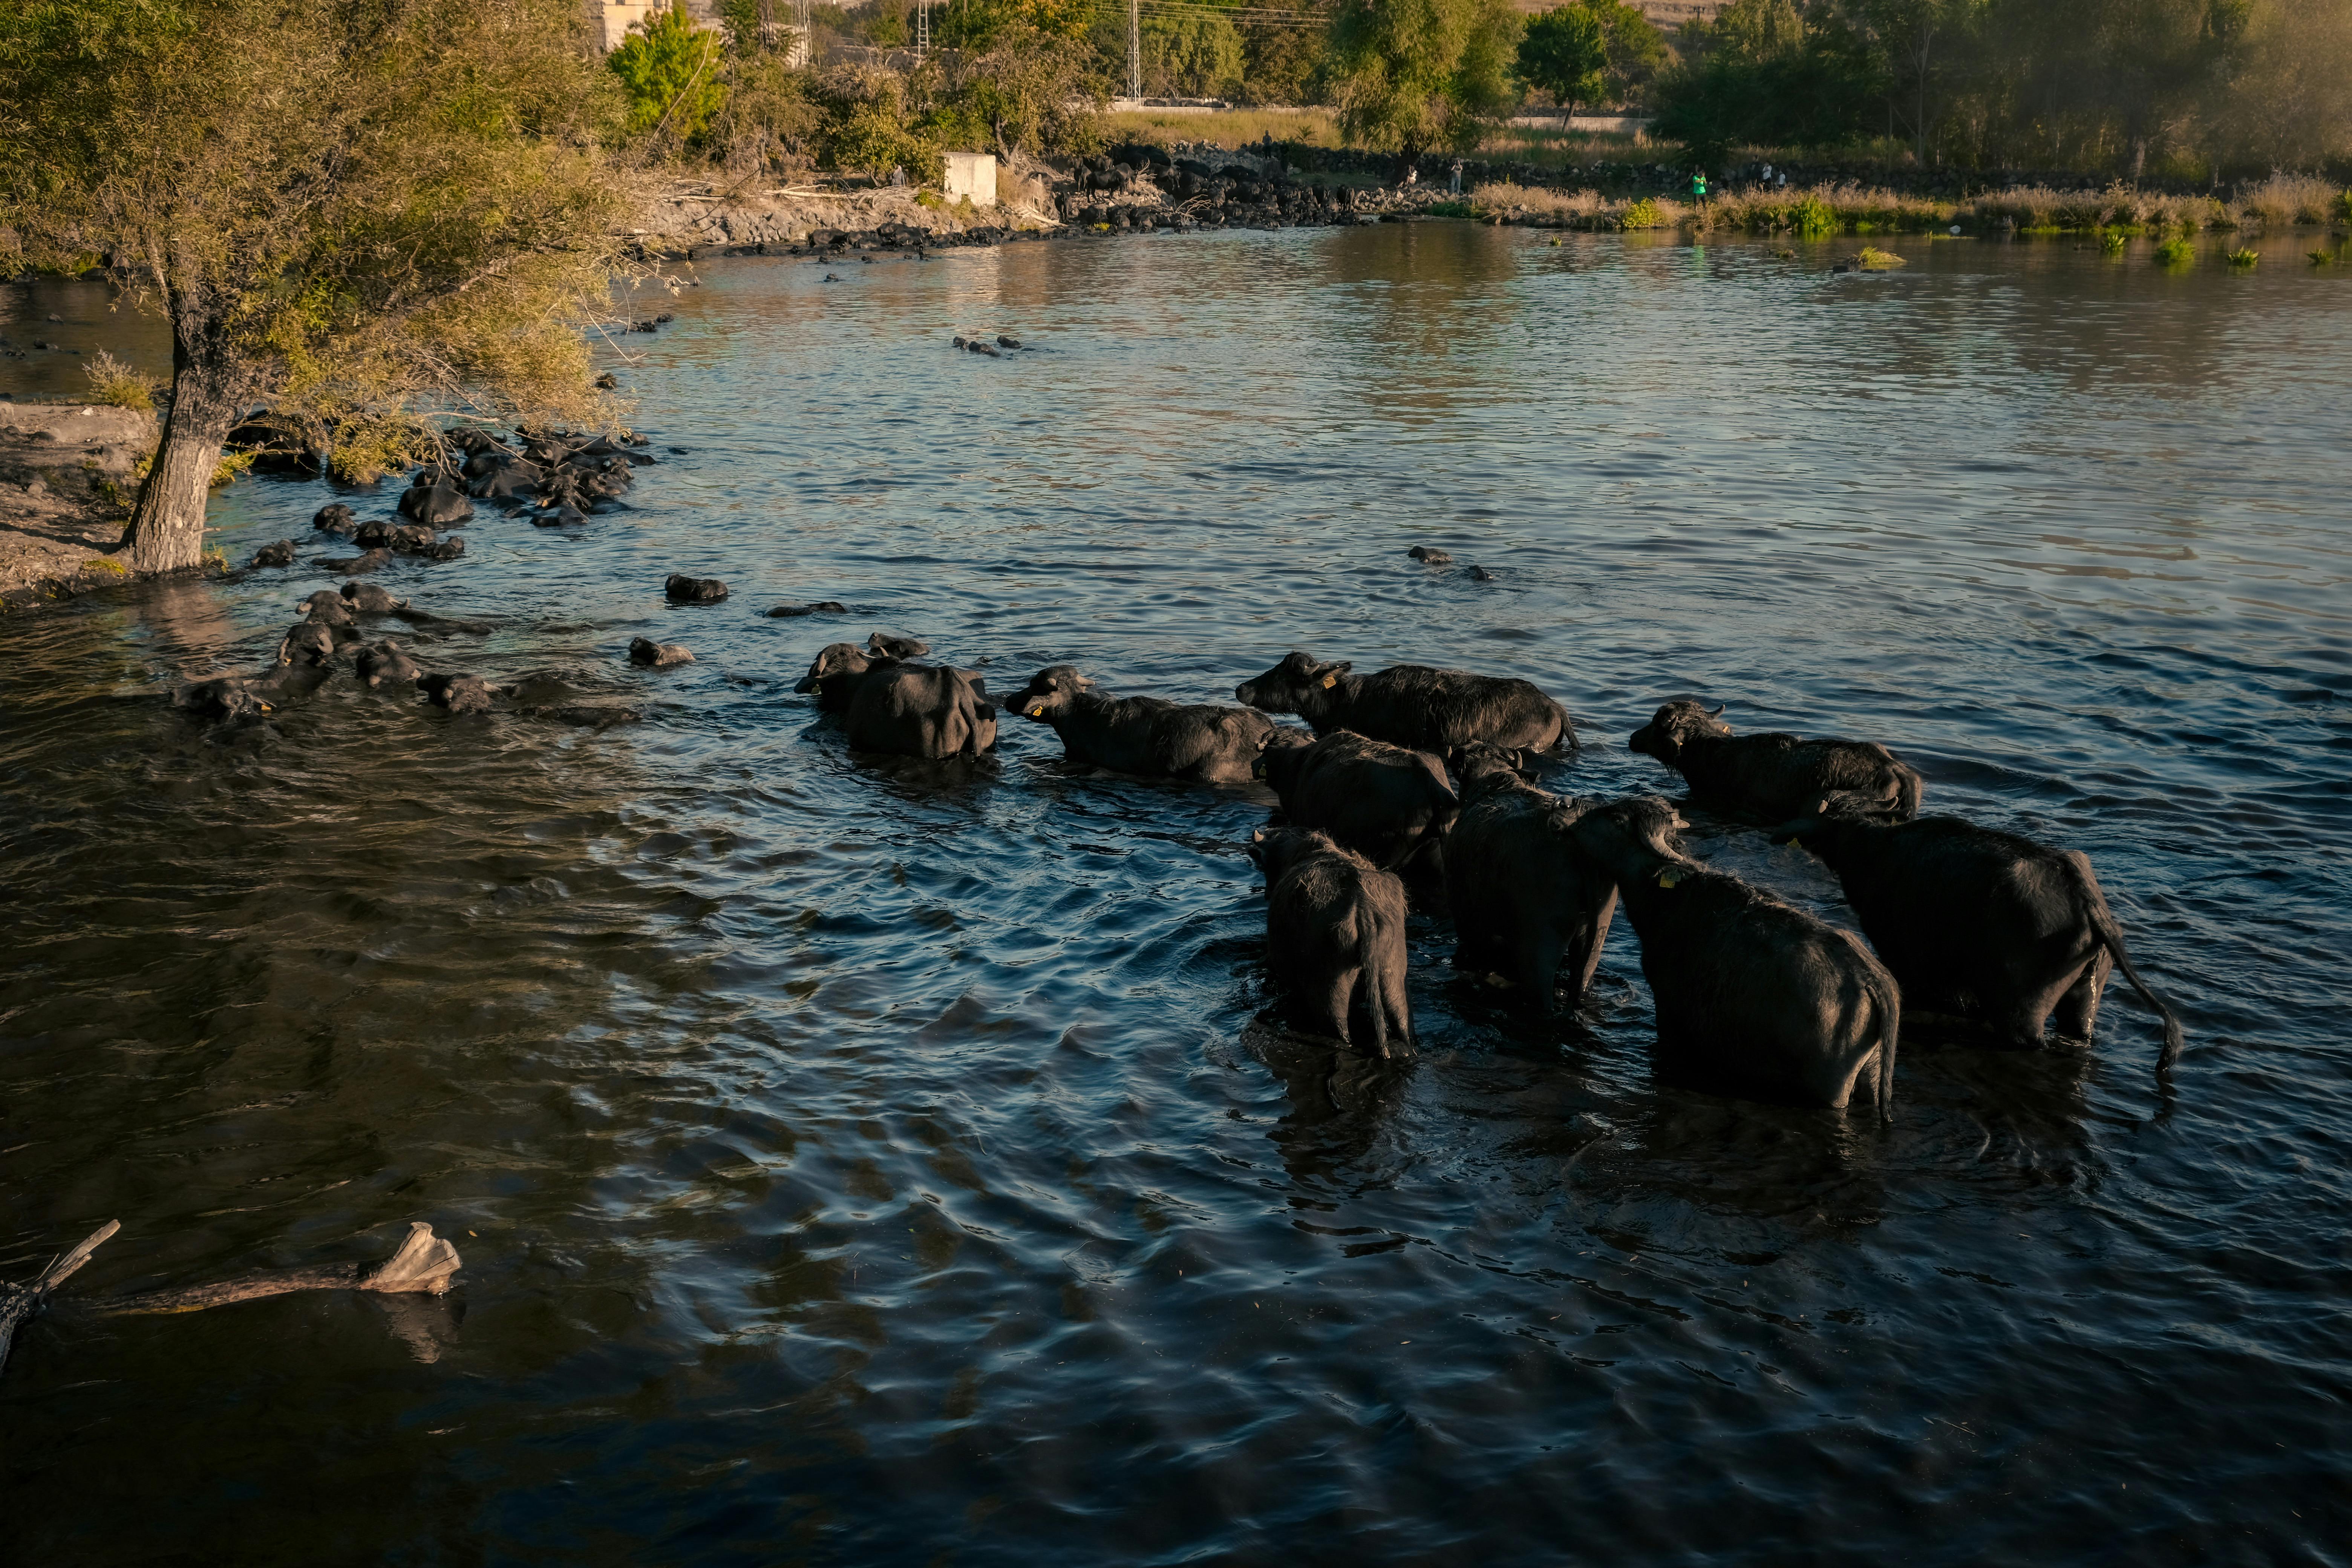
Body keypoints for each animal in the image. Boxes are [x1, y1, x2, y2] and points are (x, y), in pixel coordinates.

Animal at [1248, 827, 1413, 1059]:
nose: (1265, 894)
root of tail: (1364, 907)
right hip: (1393, 977)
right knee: (1402, 1023)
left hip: (1330, 992)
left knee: (1341, 1032)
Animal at [1569, 796, 1899, 1113]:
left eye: (1616, 818)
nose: (1579, 823)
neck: (1673, 898)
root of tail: (1871, 980)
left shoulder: (1669, 1013)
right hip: (1871, 1076)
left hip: (1829, 1089)